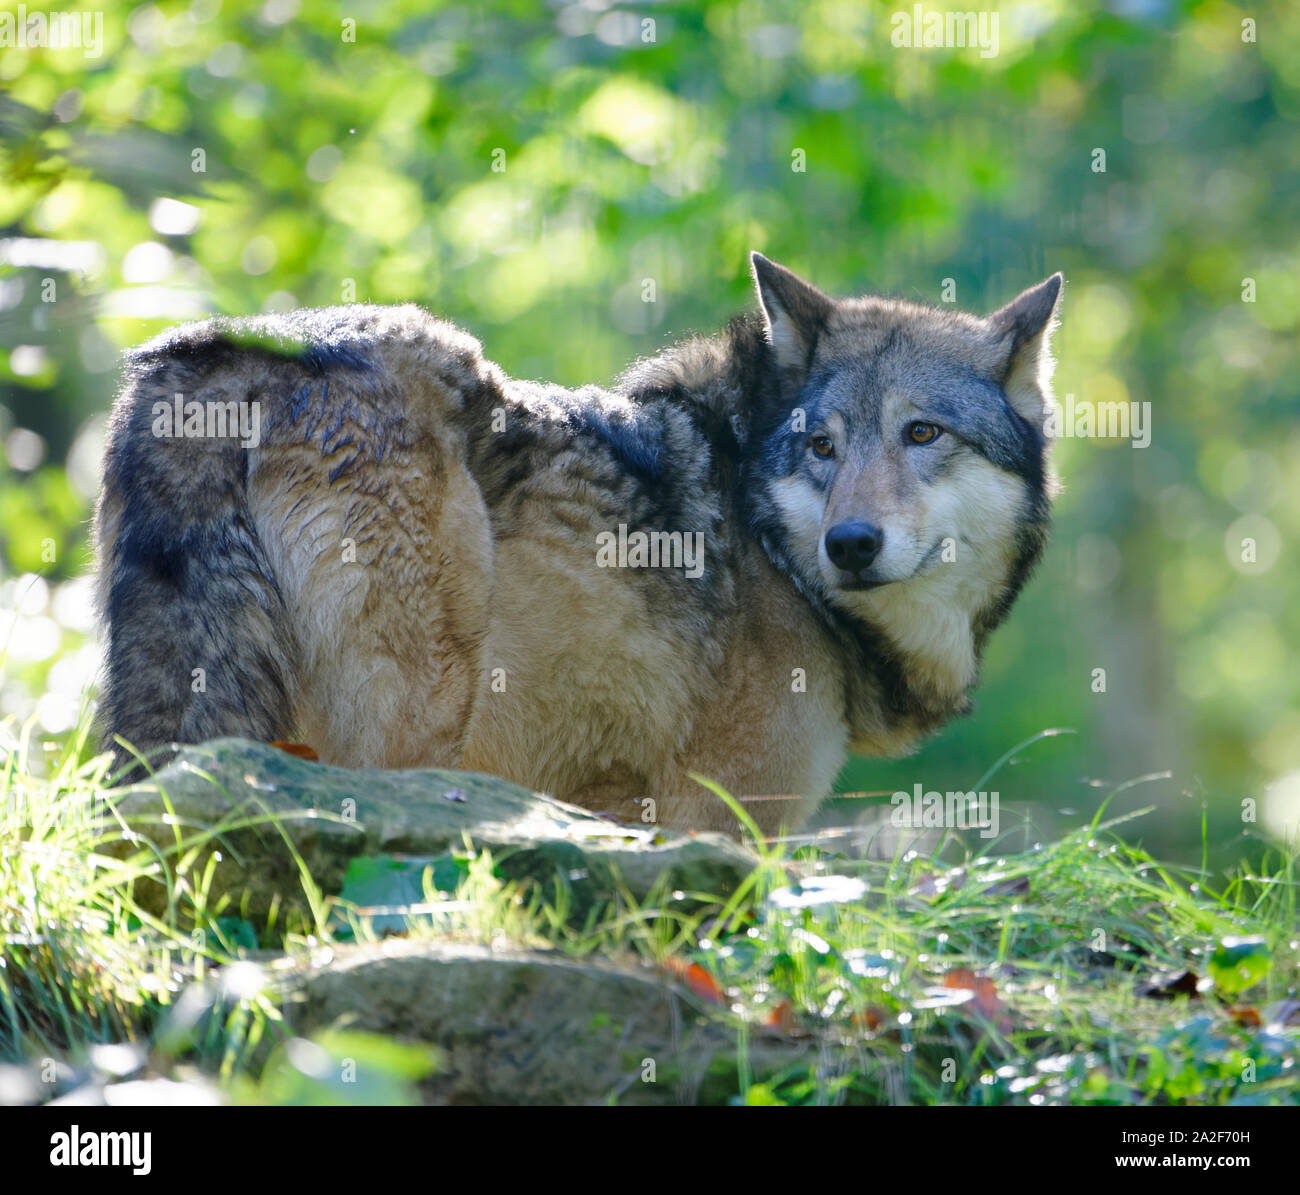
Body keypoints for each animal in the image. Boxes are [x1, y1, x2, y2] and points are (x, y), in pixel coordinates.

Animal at [95, 255, 1062, 834]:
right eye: (822, 447)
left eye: (922, 433)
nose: (851, 544)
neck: (771, 549)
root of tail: (234, 350)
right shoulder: (720, 817)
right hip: (412, 723)